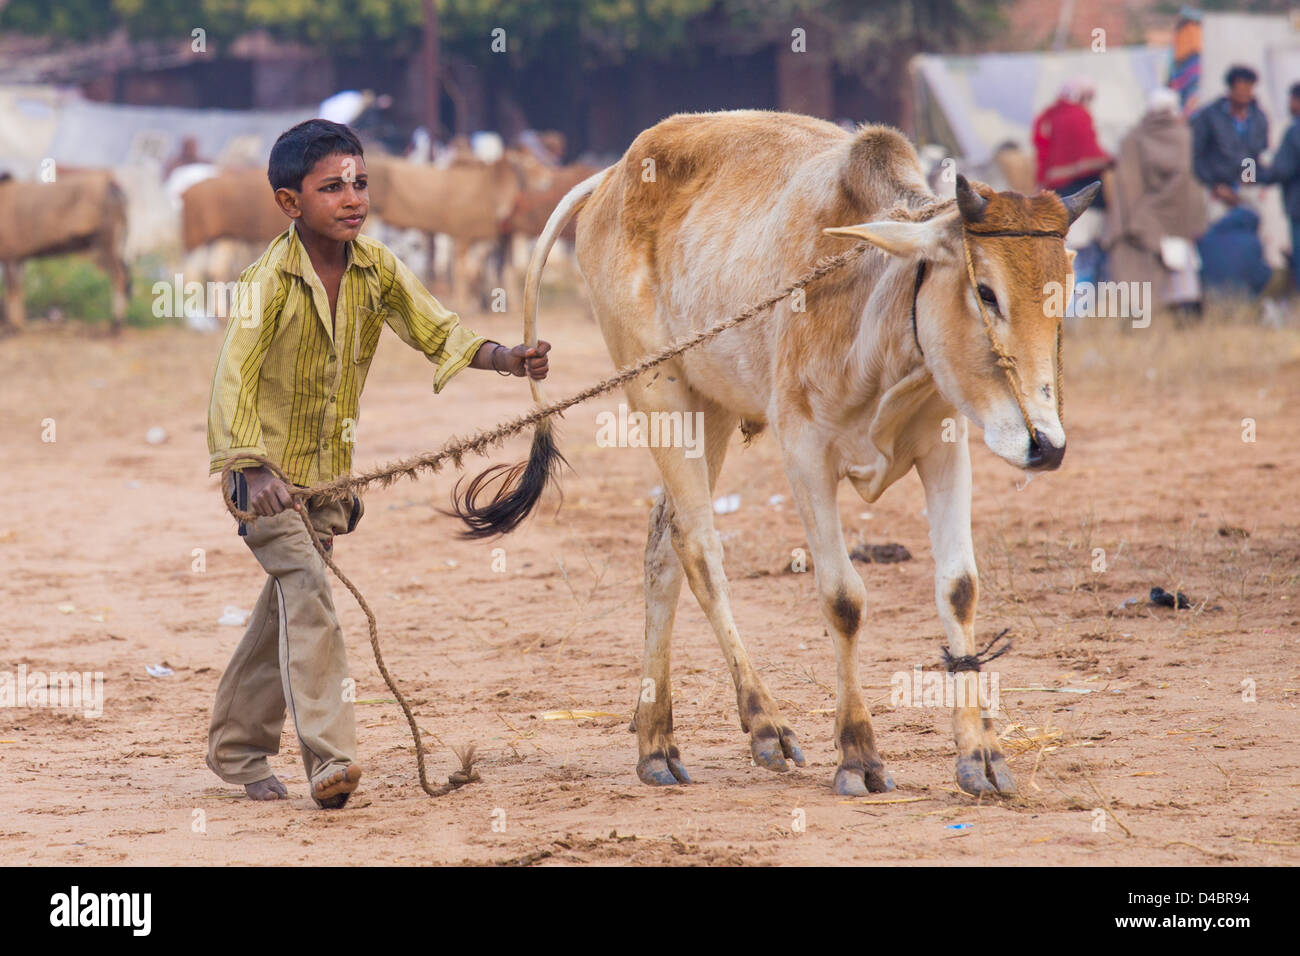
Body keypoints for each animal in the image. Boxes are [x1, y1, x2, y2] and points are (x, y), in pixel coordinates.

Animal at [0, 170, 130, 333]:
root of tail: (113, 186)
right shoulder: (19, 257)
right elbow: (18, 289)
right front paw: (18, 323)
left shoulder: (10, 255)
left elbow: (12, 290)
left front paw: (13, 326)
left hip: (105, 243)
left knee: (119, 278)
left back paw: (116, 323)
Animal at [448, 110, 1097, 796]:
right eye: (986, 292)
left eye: (1063, 295)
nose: (1045, 444)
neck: (876, 309)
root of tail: (612, 175)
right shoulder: (805, 453)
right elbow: (842, 599)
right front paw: (859, 753)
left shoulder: (945, 449)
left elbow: (959, 588)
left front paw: (981, 755)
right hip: (657, 389)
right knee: (699, 547)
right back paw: (764, 723)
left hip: (712, 407)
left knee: (663, 541)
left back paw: (656, 741)